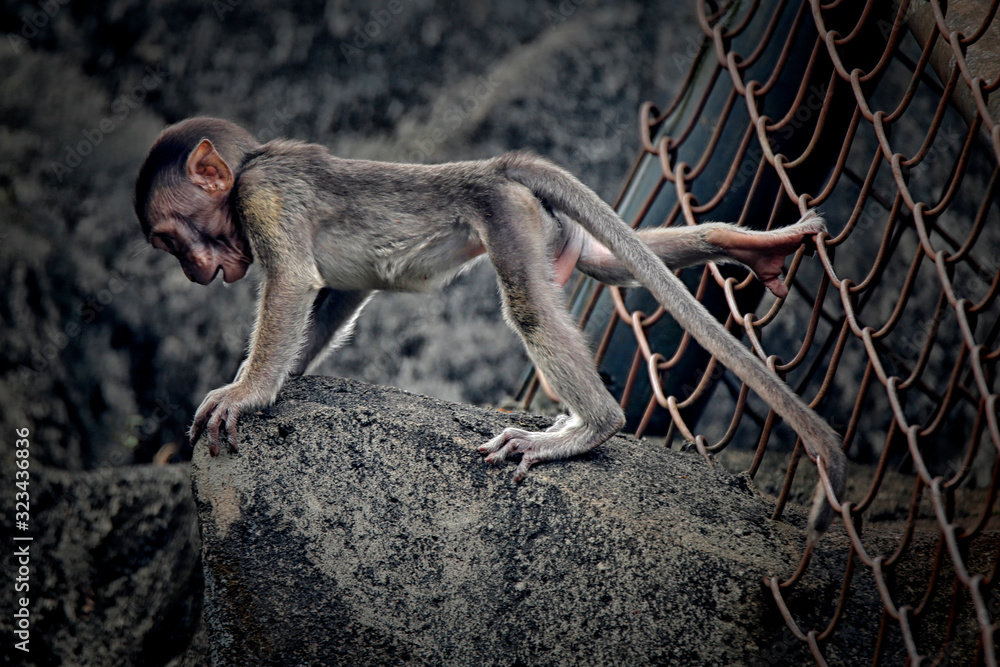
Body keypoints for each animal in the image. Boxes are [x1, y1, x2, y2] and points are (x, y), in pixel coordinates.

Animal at [135, 116, 846, 542]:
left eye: (172, 238)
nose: (195, 269)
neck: (250, 163)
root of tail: (495, 166)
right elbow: (336, 294)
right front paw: (280, 377)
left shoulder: (264, 196)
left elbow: (292, 285)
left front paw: (245, 392)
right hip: (544, 226)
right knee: (605, 261)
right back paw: (748, 245)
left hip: (504, 213)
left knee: (530, 304)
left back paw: (592, 427)